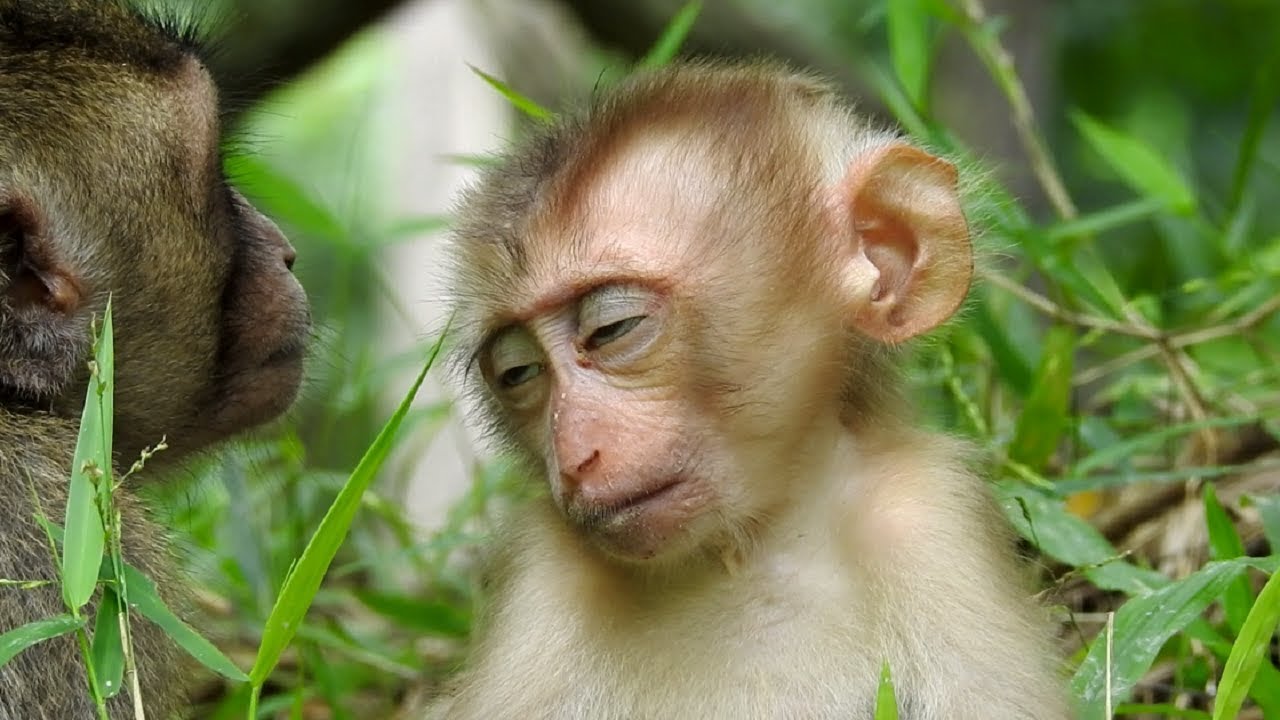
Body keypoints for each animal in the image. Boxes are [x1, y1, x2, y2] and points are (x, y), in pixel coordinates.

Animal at [433, 61, 1070, 719]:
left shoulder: (928, 515)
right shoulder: (543, 572)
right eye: (518, 372)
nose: (576, 454)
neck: (748, 548)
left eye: (612, 327)